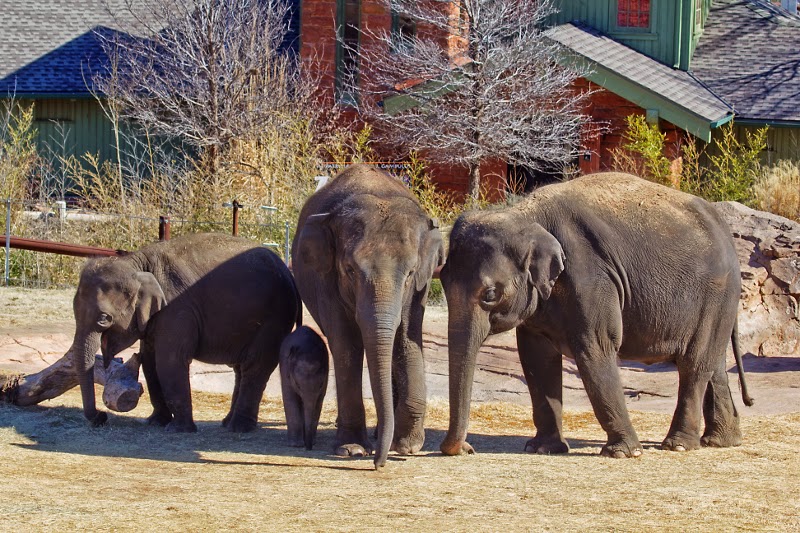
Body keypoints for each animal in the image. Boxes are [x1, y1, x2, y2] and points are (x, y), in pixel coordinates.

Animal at [70, 232, 301, 432]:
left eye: (104, 318)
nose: (101, 416)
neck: (136, 264)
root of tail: (288, 273)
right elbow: (149, 361)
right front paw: (156, 422)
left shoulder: (176, 309)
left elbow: (169, 361)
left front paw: (179, 430)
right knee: (240, 369)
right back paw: (227, 423)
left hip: (274, 320)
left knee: (255, 365)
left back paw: (238, 428)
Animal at [292, 164, 444, 468]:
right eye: (350, 270)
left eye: (410, 273)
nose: (378, 463)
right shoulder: (325, 279)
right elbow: (345, 344)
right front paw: (352, 450)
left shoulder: (419, 286)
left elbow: (407, 338)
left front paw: (409, 446)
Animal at [439, 172, 754, 459]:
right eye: (441, 280)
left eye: (490, 294)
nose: (466, 448)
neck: (524, 214)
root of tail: (725, 232)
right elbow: (536, 359)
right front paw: (543, 449)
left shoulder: (590, 279)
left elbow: (595, 349)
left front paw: (625, 453)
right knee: (713, 362)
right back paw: (721, 441)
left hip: (717, 293)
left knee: (694, 363)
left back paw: (678, 445)